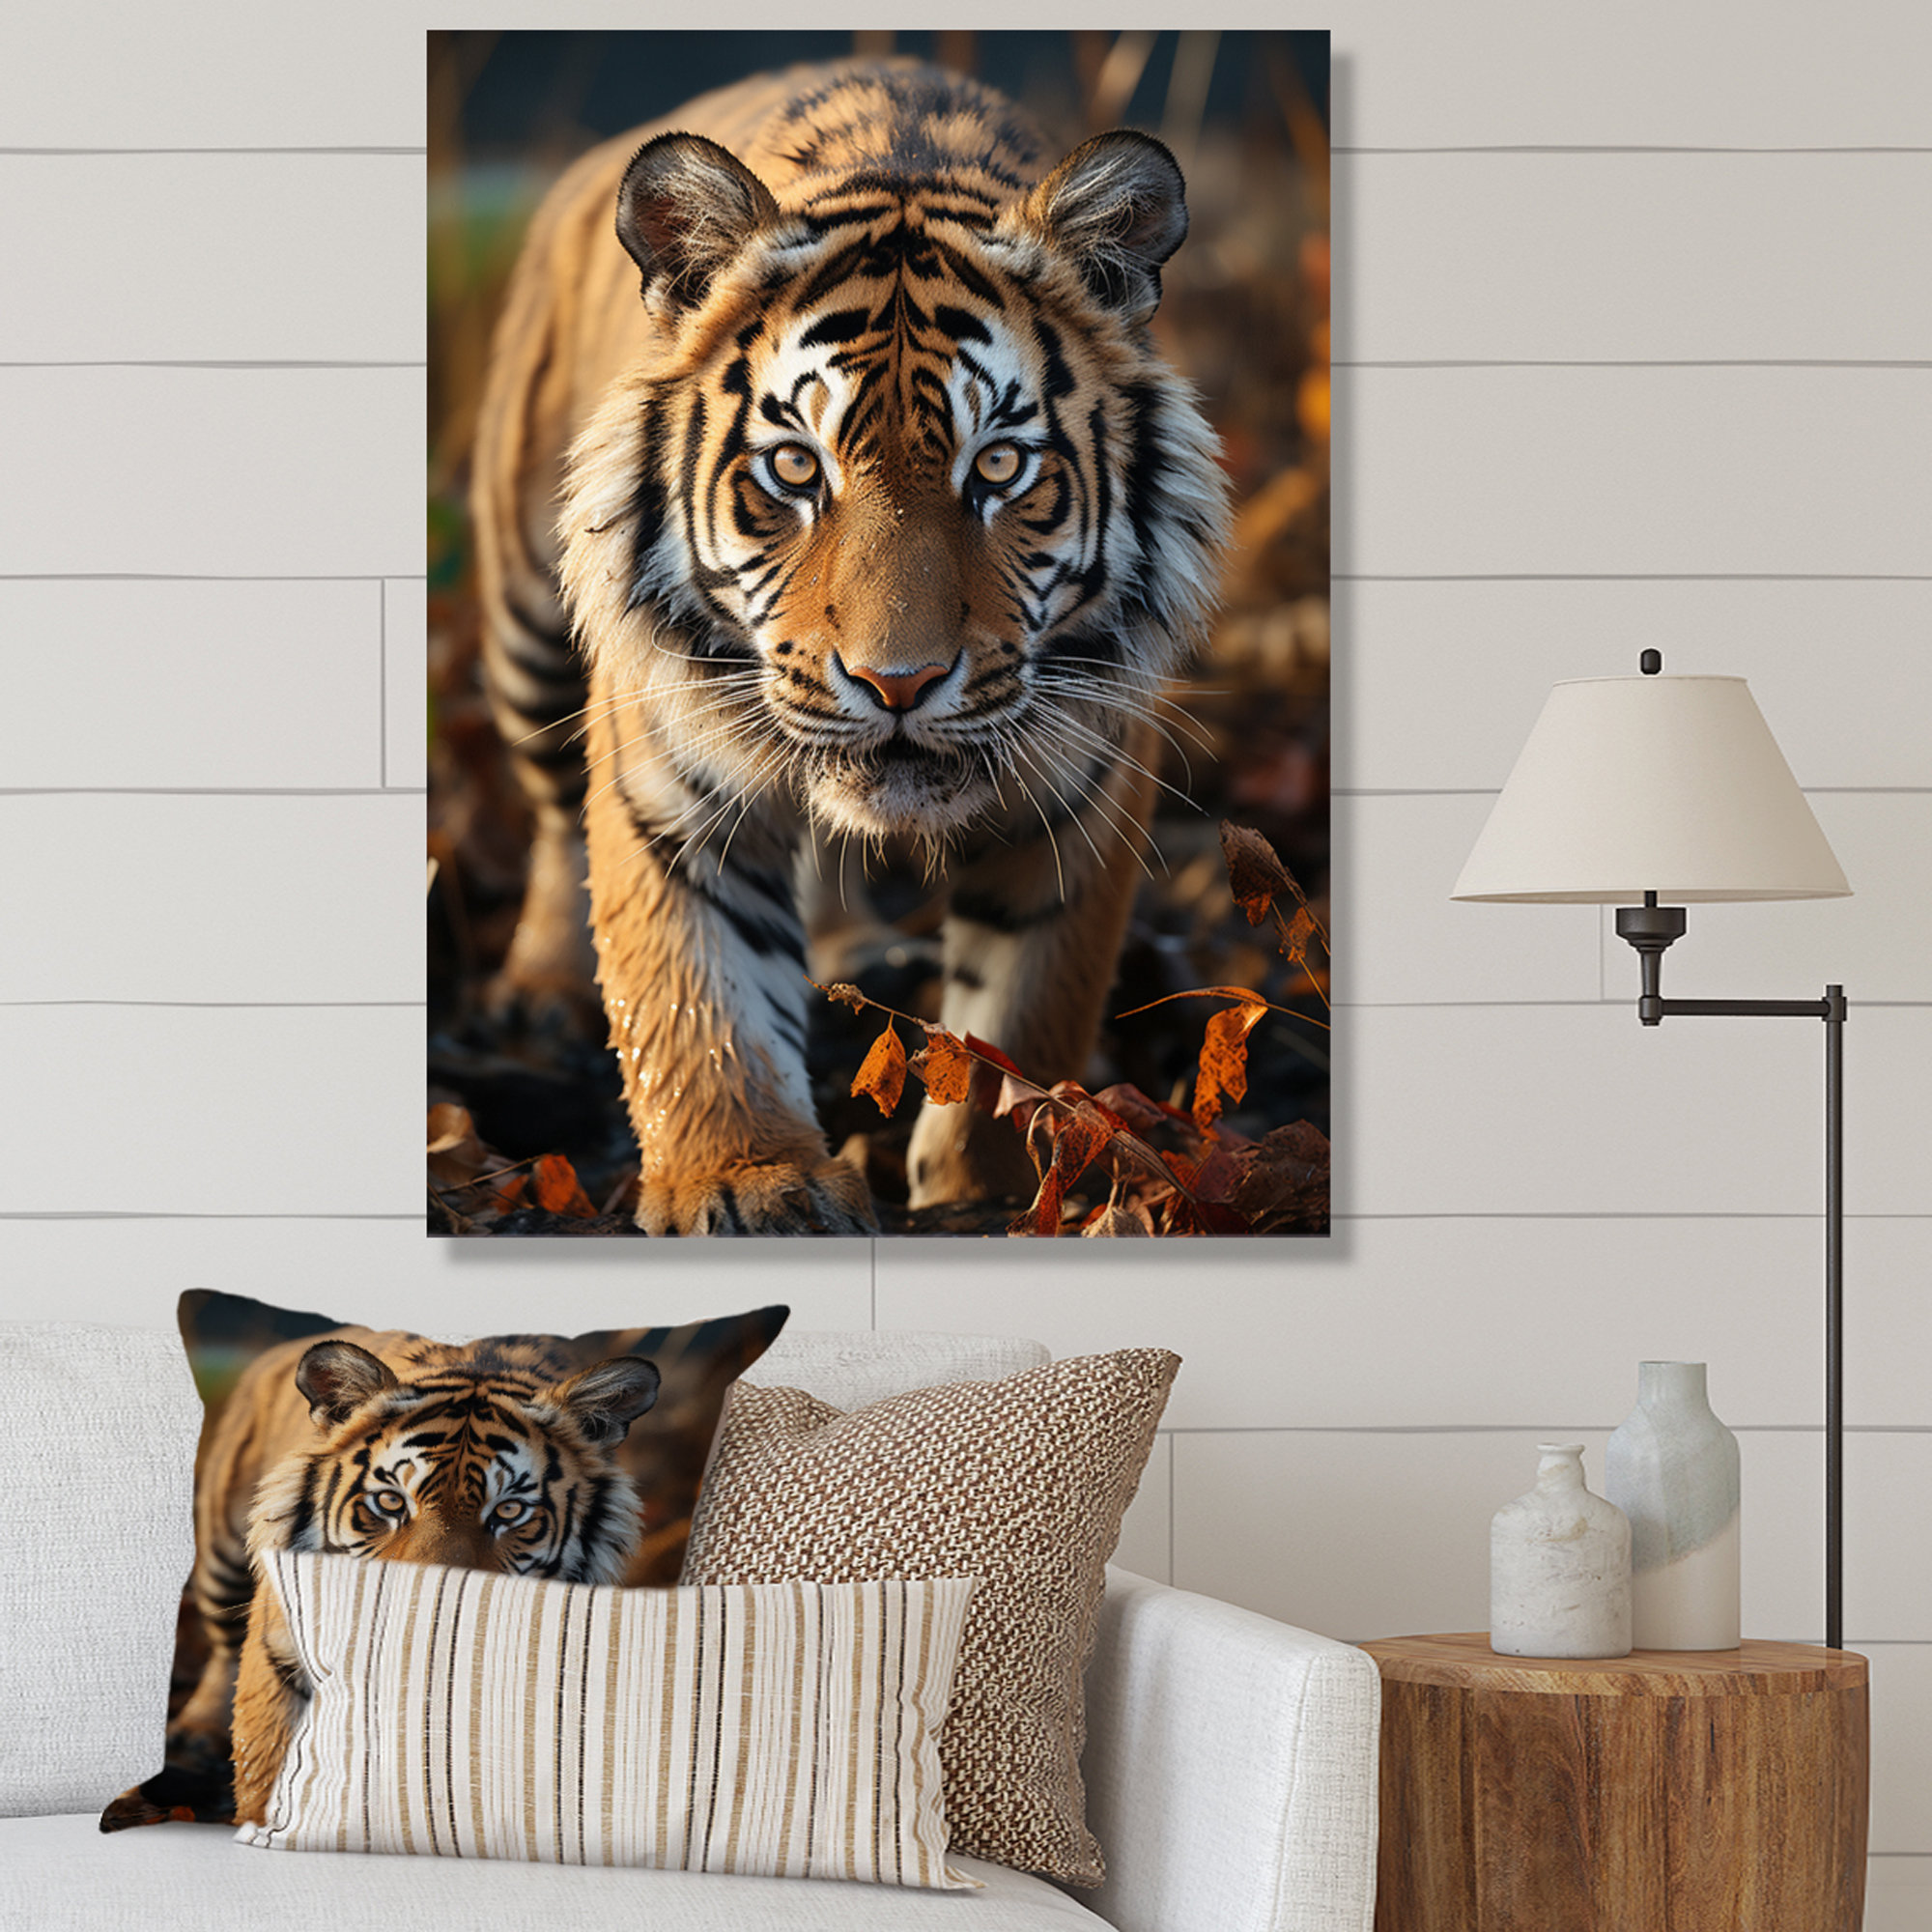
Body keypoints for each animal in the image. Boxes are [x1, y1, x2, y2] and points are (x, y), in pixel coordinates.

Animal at [472, 59, 1230, 1235]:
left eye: (999, 466)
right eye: (794, 468)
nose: (896, 684)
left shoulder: (1085, 784)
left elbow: (1027, 1006)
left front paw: (987, 1188)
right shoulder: (667, 785)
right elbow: (699, 1003)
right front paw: (747, 1182)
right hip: (525, 621)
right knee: (554, 821)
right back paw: (542, 994)